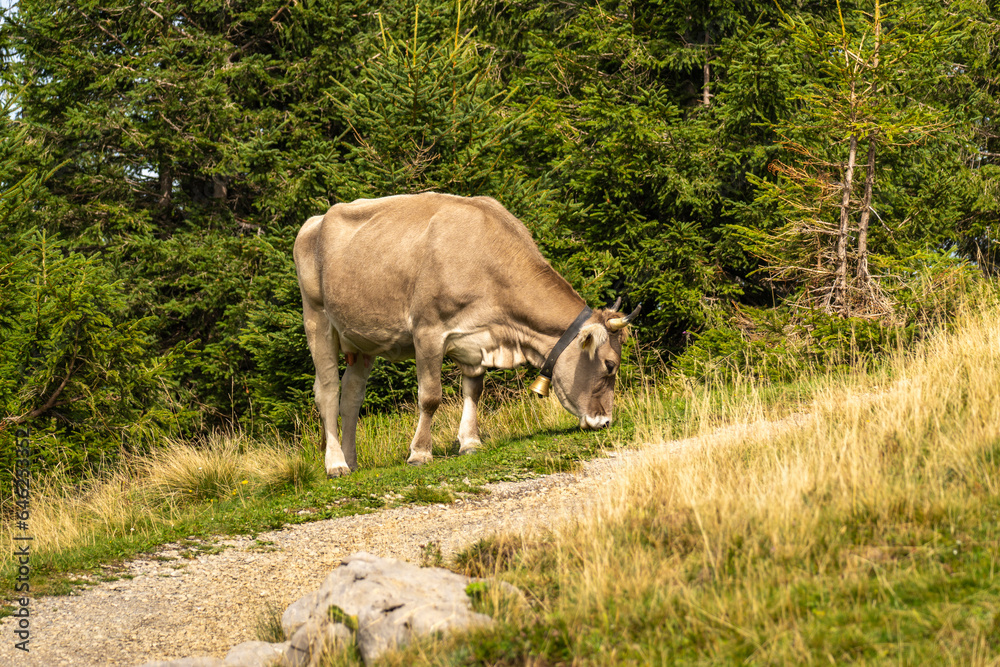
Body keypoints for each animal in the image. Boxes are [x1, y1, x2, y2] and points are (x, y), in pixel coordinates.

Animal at [293, 192, 639, 478]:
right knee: (327, 391)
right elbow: (430, 397)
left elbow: (474, 390)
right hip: (317, 317)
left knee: (352, 396)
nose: (605, 421)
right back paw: (335, 464)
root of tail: (315, 220)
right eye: (610, 365)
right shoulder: (428, 331)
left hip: (361, 339)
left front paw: (470, 442)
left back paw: (351, 461)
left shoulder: (477, 340)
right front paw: (420, 453)